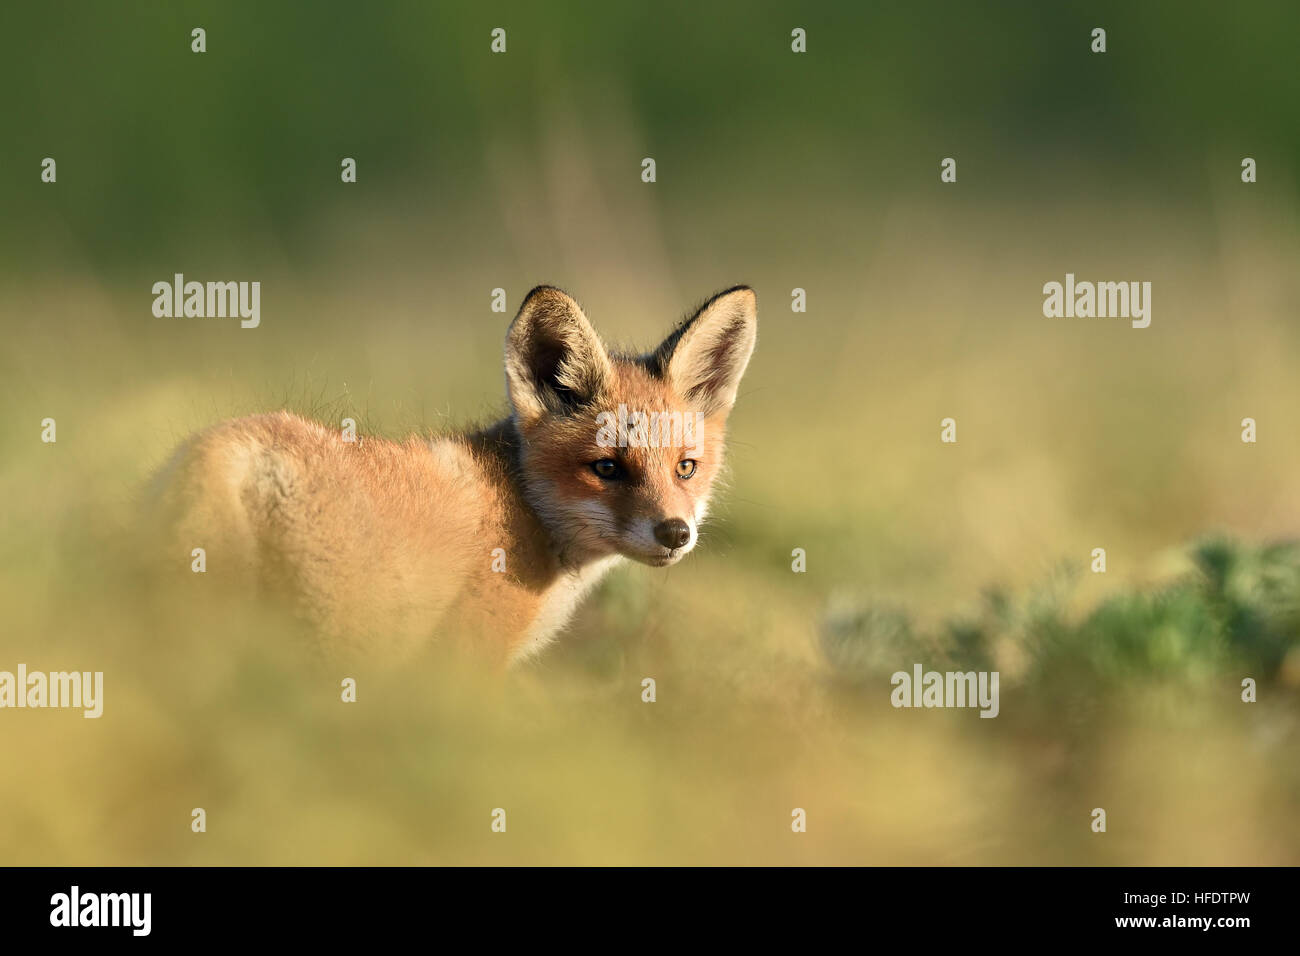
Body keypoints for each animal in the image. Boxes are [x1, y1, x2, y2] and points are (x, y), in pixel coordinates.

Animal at [149, 285, 758, 667]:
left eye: (685, 468)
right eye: (606, 467)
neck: (527, 512)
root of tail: (227, 447)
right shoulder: (466, 659)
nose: (675, 533)